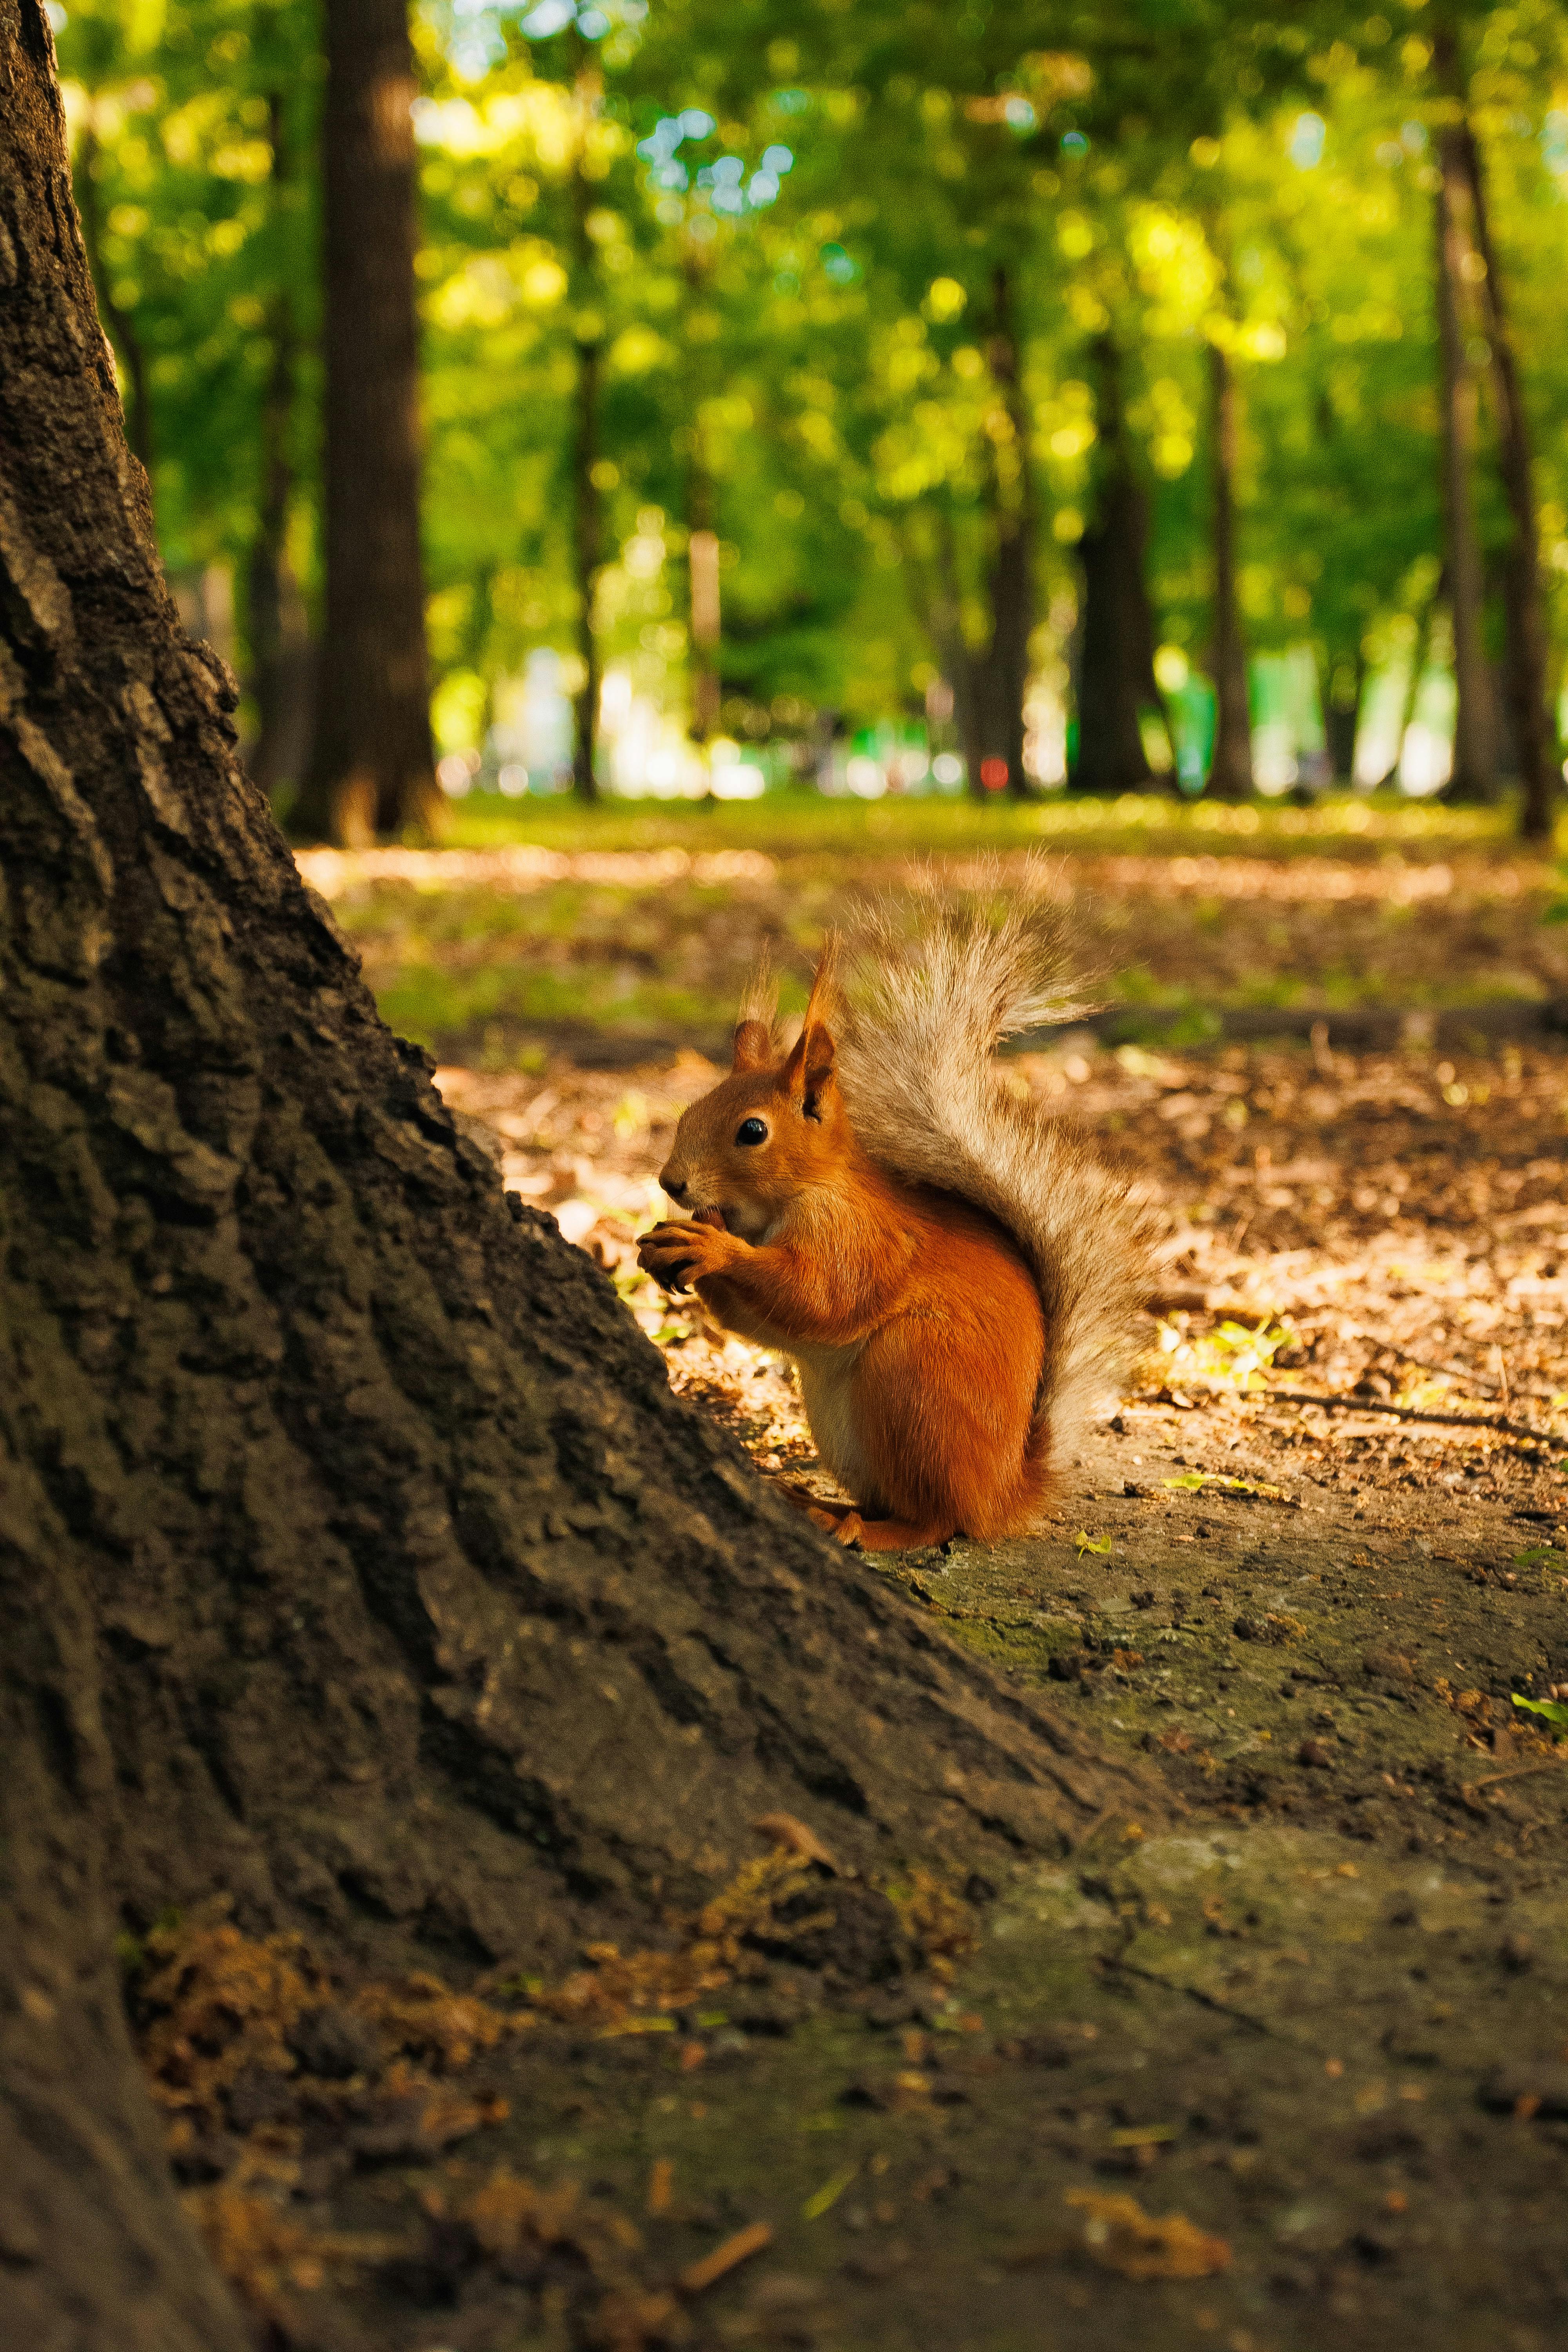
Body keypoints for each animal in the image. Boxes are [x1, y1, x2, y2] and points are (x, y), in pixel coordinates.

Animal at [636, 884, 1146, 1552]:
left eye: (752, 1131)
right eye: (689, 1111)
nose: (672, 1183)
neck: (795, 1196)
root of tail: (1002, 1493)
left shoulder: (859, 1237)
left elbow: (819, 1298)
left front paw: (712, 1249)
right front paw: (671, 1244)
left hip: (915, 1379)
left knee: (936, 1520)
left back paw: (861, 1528)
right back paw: (817, 1503)